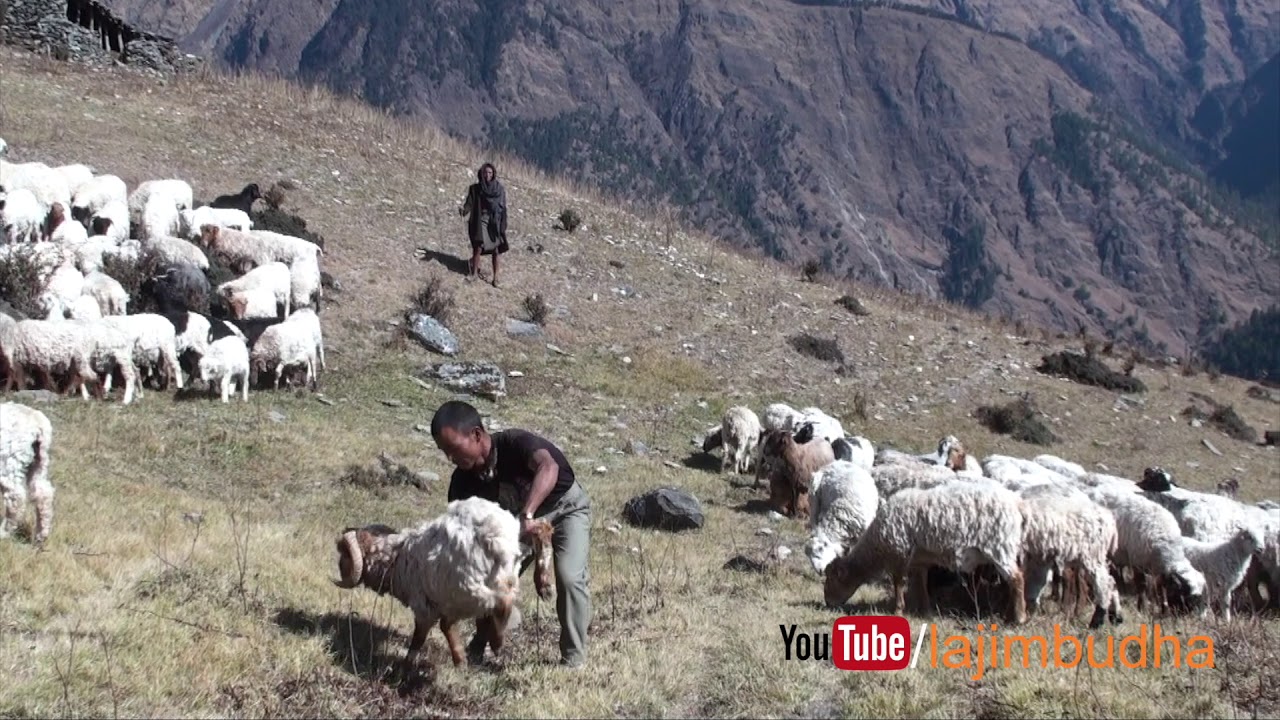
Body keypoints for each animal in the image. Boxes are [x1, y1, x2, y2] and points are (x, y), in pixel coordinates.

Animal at [0, 402, 55, 545]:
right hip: (39, 462)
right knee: (44, 494)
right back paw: (40, 537)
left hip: (8, 460)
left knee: (16, 498)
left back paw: (3, 533)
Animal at [332, 497, 529, 672]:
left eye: (344, 555)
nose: (339, 569)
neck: (396, 559)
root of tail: (494, 535)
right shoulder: (448, 603)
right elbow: (447, 626)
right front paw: (460, 661)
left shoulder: (425, 606)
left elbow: (419, 638)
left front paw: (405, 666)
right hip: (501, 574)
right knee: (505, 594)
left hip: (471, 587)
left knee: (502, 601)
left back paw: (497, 642)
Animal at [823, 480, 1029, 624]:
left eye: (832, 579)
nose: (828, 604)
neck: (877, 546)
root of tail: (1017, 504)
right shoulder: (919, 559)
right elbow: (921, 583)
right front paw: (926, 611)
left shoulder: (899, 551)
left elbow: (898, 582)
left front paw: (898, 610)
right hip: (1005, 548)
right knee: (1012, 581)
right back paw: (1009, 616)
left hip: (999, 546)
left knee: (1017, 578)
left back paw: (1018, 618)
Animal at [1017, 483, 1123, 628]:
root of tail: (1107, 518)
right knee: (1111, 581)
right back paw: (1116, 616)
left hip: (1091, 554)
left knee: (1103, 583)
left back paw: (1096, 621)